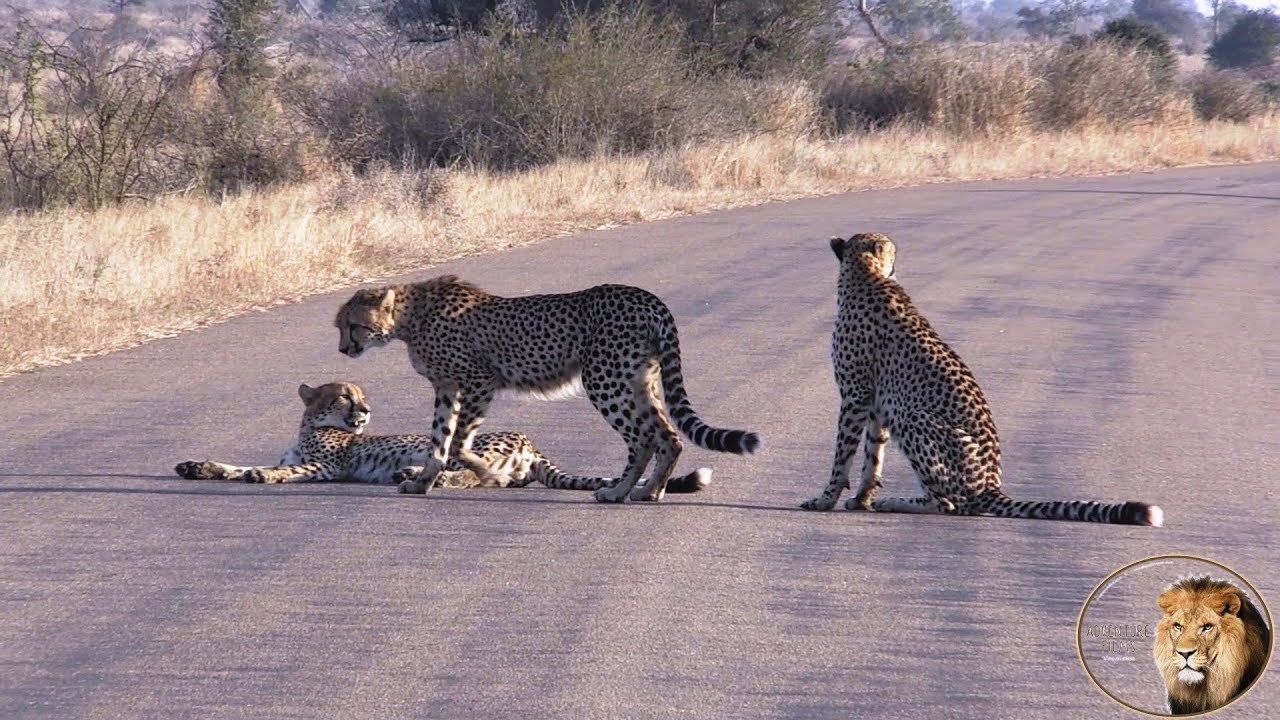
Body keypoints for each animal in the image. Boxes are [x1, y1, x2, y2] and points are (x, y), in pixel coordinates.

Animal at [334, 275, 760, 503]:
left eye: (353, 325)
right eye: (340, 326)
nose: (342, 349)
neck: (411, 315)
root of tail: (646, 296)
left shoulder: (479, 380)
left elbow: (457, 443)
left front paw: (487, 471)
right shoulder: (447, 387)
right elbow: (440, 441)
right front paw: (423, 481)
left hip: (604, 379)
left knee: (643, 439)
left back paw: (617, 490)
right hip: (638, 380)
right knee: (667, 436)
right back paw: (647, 491)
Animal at [801, 233, 1164, 525]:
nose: (897, 266)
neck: (867, 276)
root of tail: (991, 486)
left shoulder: (855, 396)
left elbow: (843, 455)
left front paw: (824, 500)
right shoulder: (875, 403)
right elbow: (872, 458)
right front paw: (860, 498)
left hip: (915, 417)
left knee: (952, 504)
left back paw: (896, 502)